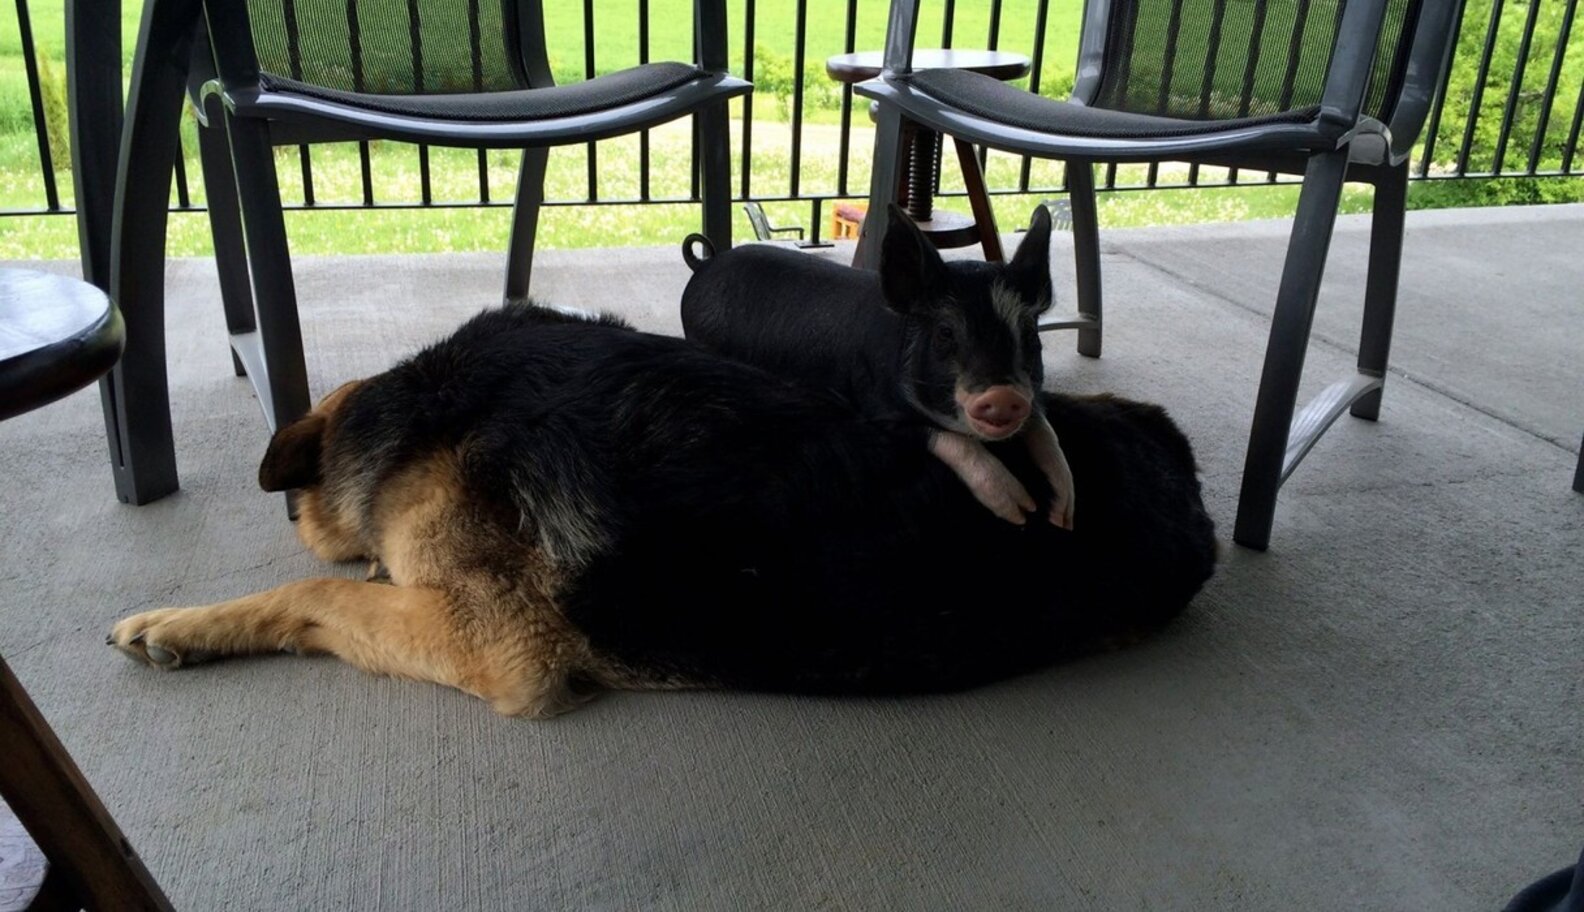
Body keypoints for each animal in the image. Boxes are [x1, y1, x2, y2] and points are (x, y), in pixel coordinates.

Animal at [680, 203, 1074, 529]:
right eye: (945, 333)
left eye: (1028, 331)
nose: (1003, 394)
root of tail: (706, 264)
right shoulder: (876, 410)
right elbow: (951, 440)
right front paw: (1020, 510)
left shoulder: (1032, 395)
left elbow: (1045, 429)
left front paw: (1062, 513)